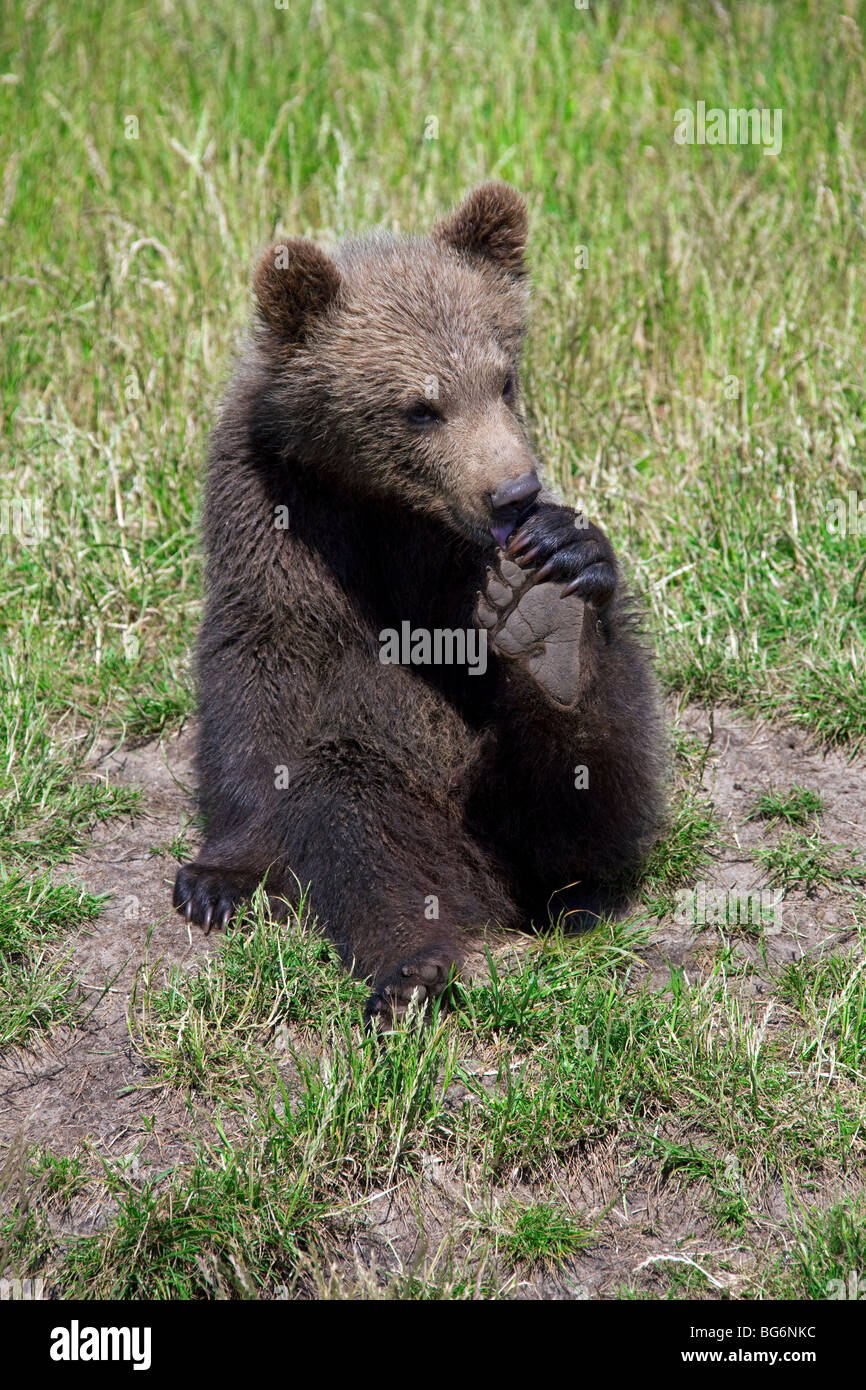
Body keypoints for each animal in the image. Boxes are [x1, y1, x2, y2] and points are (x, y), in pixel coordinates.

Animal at [173, 183, 665, 1028]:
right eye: (420, 407)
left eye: (503, 379)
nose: (515, 492)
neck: (375, 500)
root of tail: (501, 888)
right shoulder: (276, 515)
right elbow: (257, 684)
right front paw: (219, 876)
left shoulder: (454, 562)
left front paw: (565, 554)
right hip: (419, 805)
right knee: (360, 818)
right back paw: (411, 967)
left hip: (523, 810)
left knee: (597, 765)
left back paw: (556, 640)